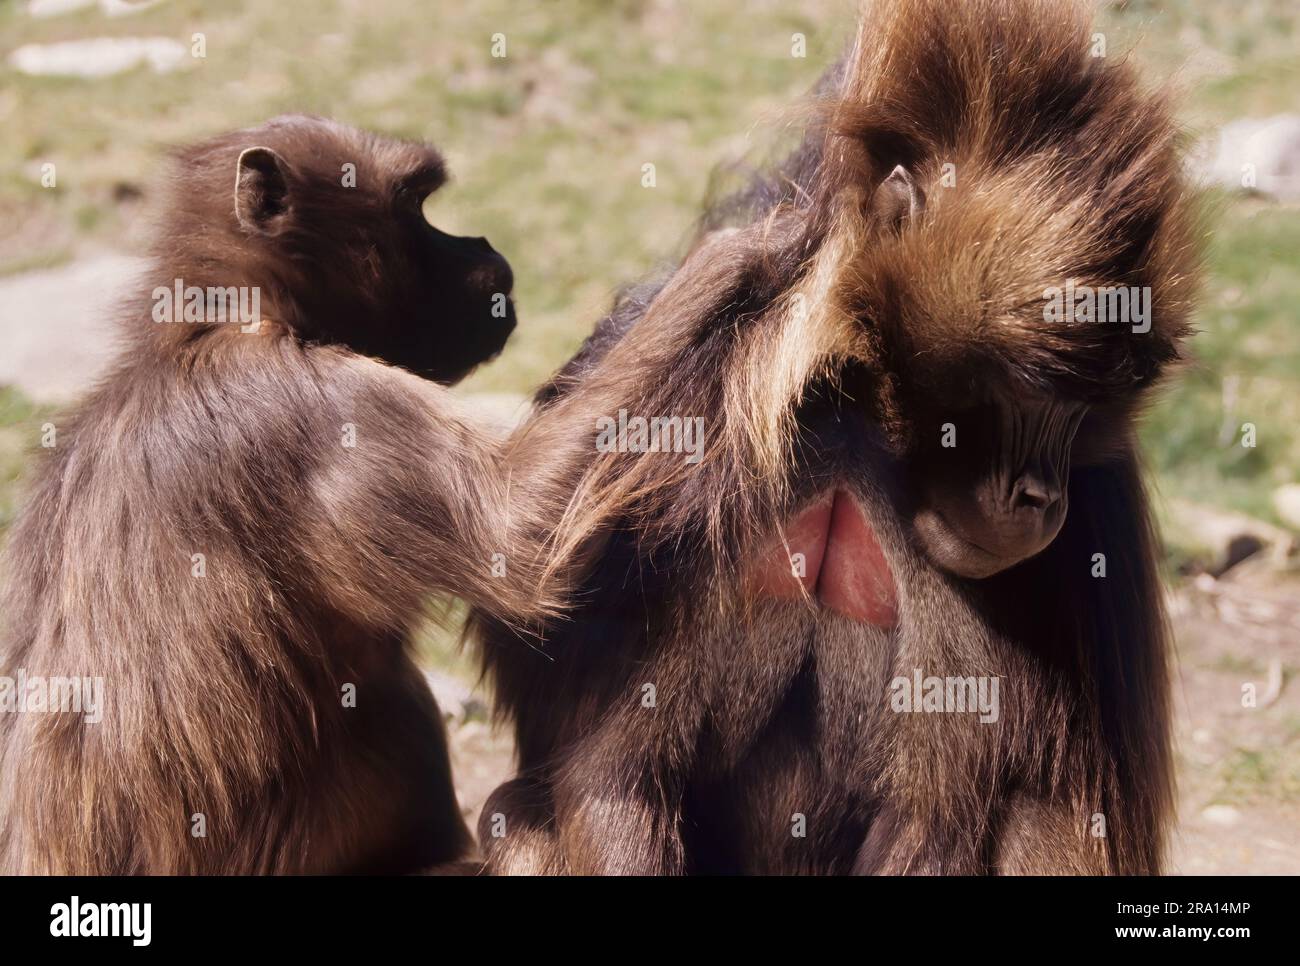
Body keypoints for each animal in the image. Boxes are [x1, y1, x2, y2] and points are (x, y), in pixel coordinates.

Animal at [471, 0, 1201, 875]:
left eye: (1084, 406)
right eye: (1033, 390)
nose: (1040, 499)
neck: (861, 420)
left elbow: (940, 816)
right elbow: (611, 776)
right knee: (518, 811)